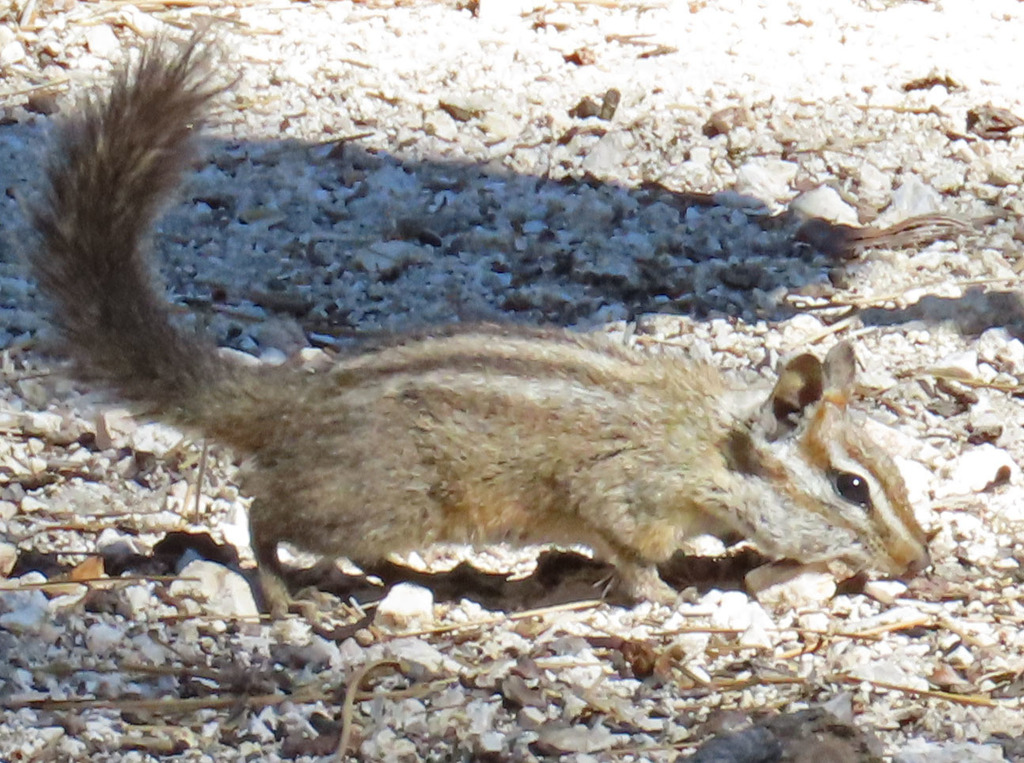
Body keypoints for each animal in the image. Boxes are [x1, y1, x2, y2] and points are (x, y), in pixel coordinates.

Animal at [28, 35, 930, 617]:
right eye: (851, 487)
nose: (918, 560)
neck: (712, 440)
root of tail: (297, 401)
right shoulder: (625, 493)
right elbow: (627, 550)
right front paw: (663, 592)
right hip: (373, 498)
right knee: (263, 517)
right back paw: (285, 592)